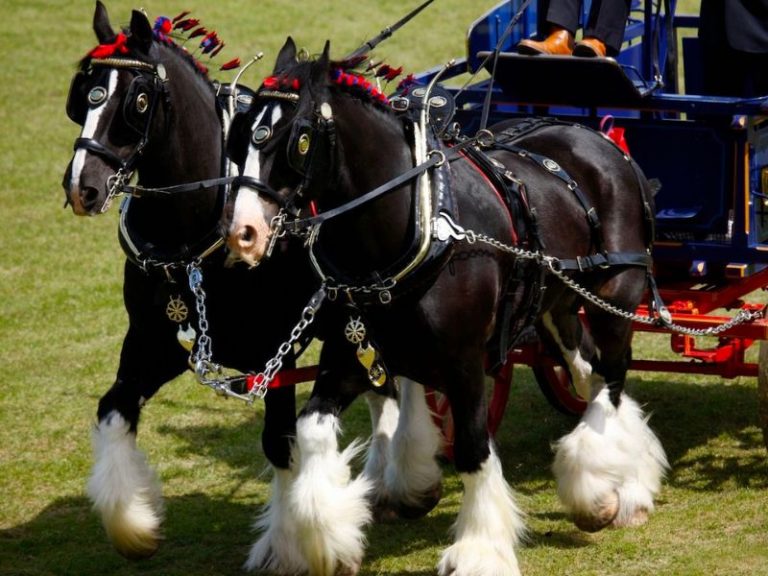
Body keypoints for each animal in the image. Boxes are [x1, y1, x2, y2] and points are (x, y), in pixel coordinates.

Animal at [61, 4, 405, 563]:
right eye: (82, 93)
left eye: (137, 101)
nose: (81, 186)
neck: (195, 233)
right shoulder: (157, 342)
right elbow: (113, 408)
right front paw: (134, 525)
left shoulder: (275, 353)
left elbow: (279, 442)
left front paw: (288, 545)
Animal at [223, 37, 670, 576]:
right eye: (239, 136)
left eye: (298, 138)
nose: (243, 233)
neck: (414, 227)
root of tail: (600, 139)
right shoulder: (355, 355)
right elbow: (308, 431)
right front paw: (326, 538)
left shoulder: (465, 364)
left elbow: (474, 448)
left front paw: (480, 549)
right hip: (556, 306)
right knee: (589, 373)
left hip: (614, 295)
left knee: (614, 379)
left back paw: (615, 493)